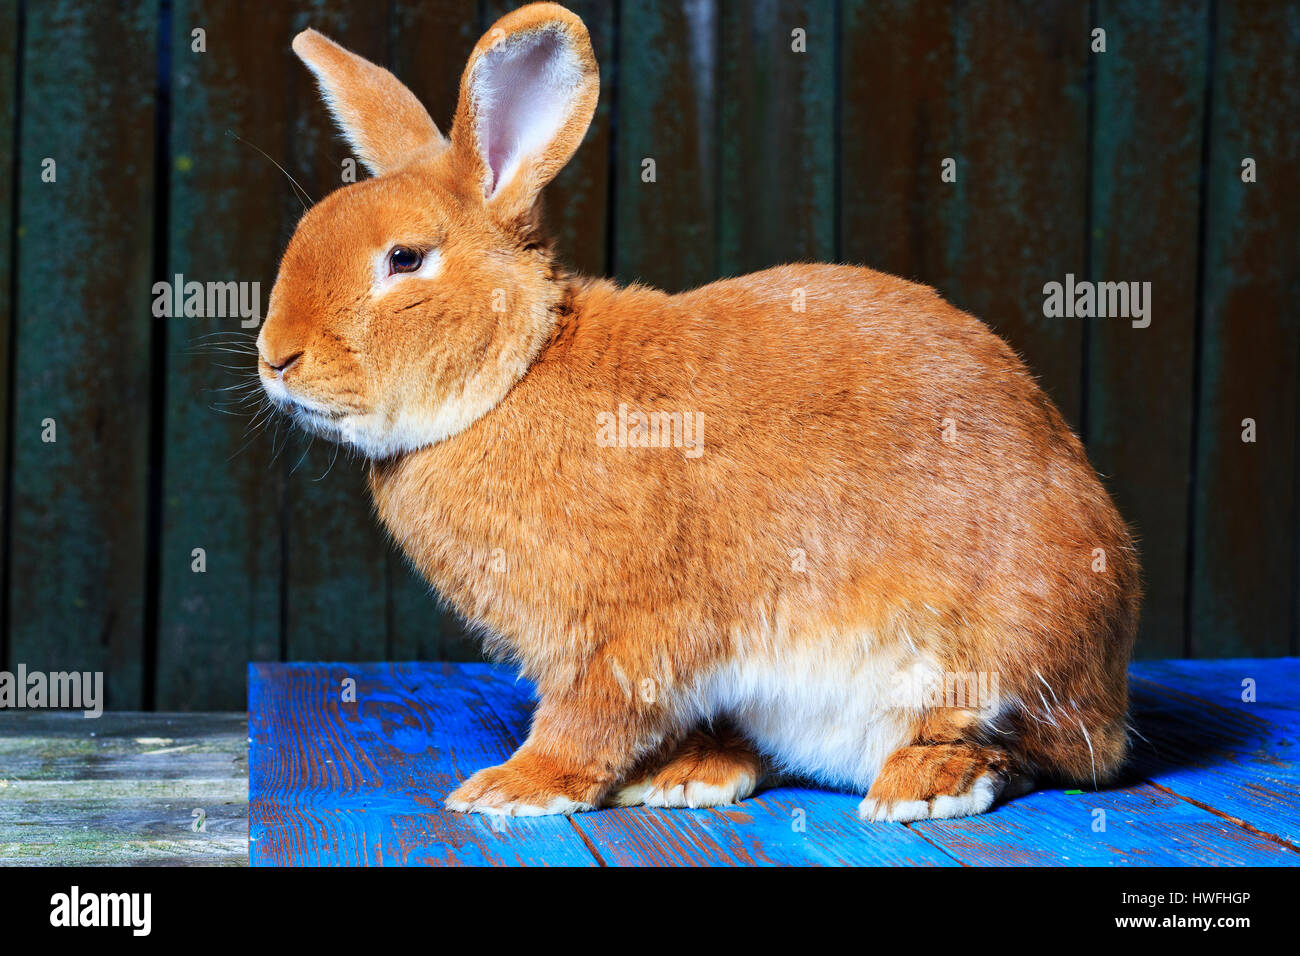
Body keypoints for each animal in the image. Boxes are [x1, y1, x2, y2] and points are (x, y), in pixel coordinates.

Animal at [257, 2, 1141, 821]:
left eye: (405, 259)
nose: (274, 357)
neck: (516, 374)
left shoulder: (618, 637)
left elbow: (588, 721)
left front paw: (513, 788)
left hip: (999, 651)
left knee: (1028, 748)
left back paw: (923, 786)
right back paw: (693, 775)